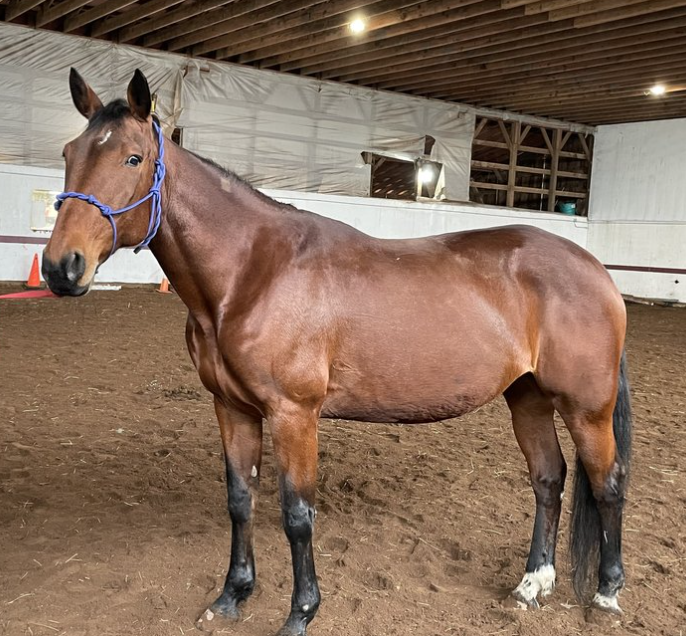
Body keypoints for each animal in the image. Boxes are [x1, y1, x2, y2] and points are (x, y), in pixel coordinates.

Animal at [42, 69, 632, 635]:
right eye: (69, 153)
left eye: (133, 157)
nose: (61, 267)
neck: (253, 272)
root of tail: (594, 268)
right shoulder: (232, 409)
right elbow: (240, 501)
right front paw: (232, 596)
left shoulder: (294, 415)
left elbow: (297, 514)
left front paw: (300, 613)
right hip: (527, 396)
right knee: (549, 479)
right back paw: (532, 584)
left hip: (586, 408)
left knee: (607, 483)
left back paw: (606, 594)